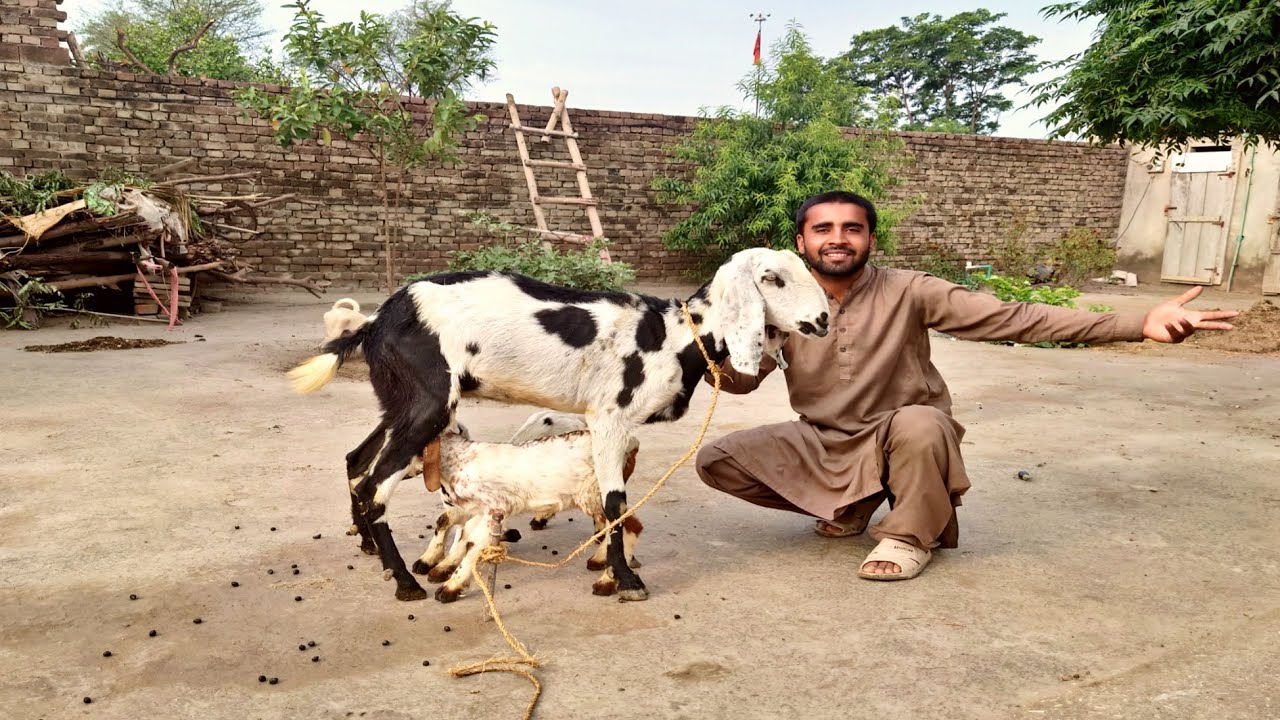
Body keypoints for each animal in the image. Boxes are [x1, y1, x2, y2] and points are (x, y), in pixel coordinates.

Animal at [414, 423, 643, 603]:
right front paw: (440, 565)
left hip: (595, 493)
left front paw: (450, 587)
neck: (460, 461)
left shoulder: (496, 507)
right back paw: (600, 559)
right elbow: (462, 533)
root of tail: (631, 444)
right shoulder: (478, 509)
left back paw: (609, 581)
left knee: (630, 525)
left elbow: (473, 545)